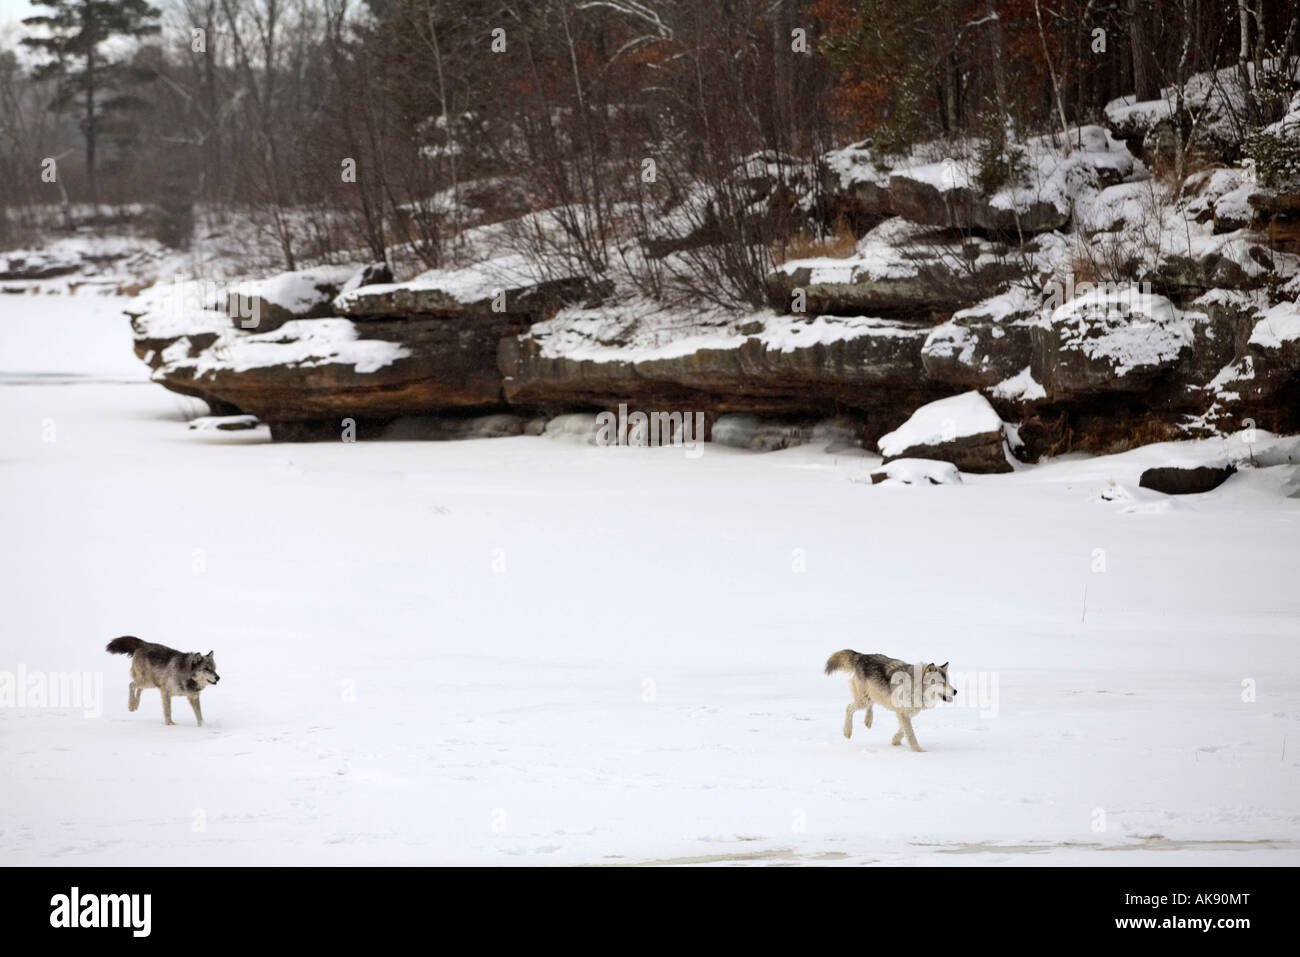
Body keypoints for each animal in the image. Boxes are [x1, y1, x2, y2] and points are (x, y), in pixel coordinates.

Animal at [824, 650, 955, 752]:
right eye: (941, 682)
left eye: (948, 682)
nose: (955, 691)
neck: (915, 686)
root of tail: (862, 656)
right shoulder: (903, 713)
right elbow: (910, 733)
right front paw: (919, 751)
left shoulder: (904, 713)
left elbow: (903, 730)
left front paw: (895, 741)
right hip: (864, 700)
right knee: (848, 707)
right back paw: (847, 731)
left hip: (871, 697)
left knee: (869, 706)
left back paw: (868, 721)